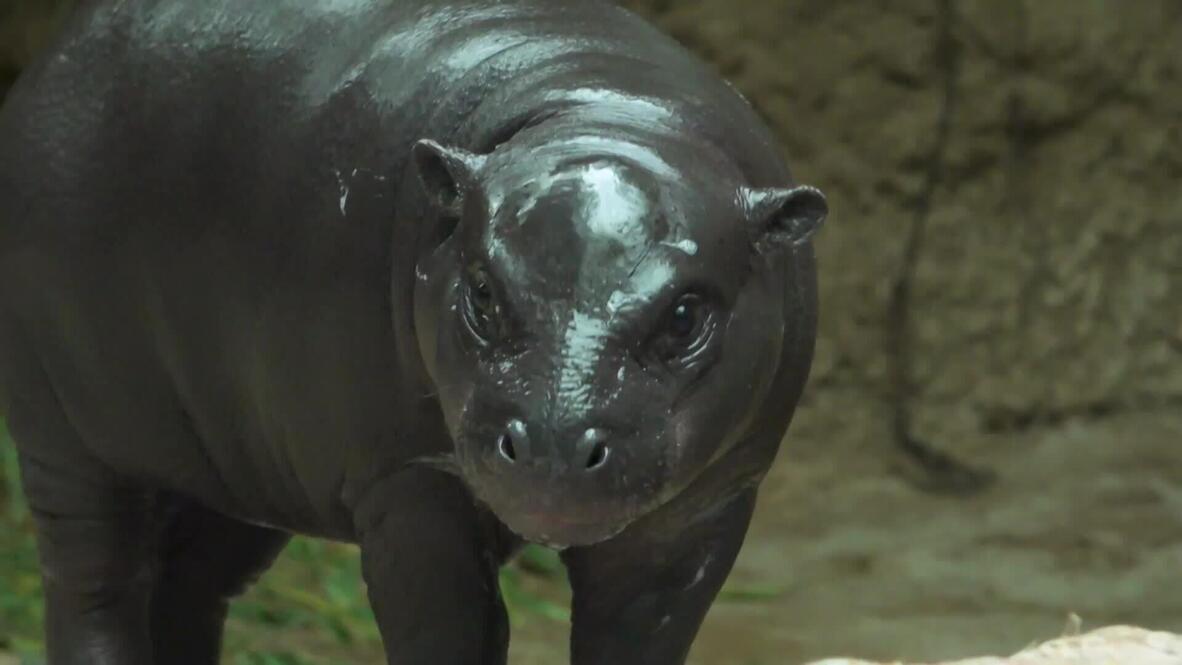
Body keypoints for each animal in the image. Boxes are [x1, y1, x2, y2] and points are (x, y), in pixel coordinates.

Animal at [0, 0, 828, 663]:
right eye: (483, 292)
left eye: (685, 315)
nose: (553, 442)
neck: (609, 111)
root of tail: (49, 63)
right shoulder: (407, 477)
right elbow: (452, 632)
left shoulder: (704, 508)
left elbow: (637, 638)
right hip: (64, 443)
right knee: (94, 591)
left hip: (236, 456)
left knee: (187, 590)